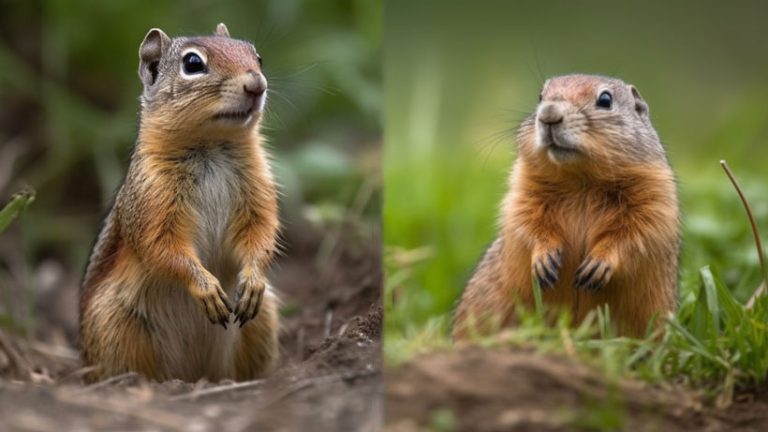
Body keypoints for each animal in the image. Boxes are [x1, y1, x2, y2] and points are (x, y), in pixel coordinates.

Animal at [79, 24, 280, 382]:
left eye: (257, 56)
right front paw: (206, 287)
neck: (211, 146)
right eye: (192, 63)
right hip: (114, 328)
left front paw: (253, 279)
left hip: (263, 322)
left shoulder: (258, 195)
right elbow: (163, 249)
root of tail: (192, 374)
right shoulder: (151, 203)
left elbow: (261, 234)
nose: (257, 84)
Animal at [453, 74, 680, 339]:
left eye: (605, 99)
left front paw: (596, 266)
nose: (548, 114)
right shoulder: (524, 189)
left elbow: (637, 232)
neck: (581, 181)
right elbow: (525, 221)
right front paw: (544, 260)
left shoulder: (655, 194)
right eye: (540, 96)